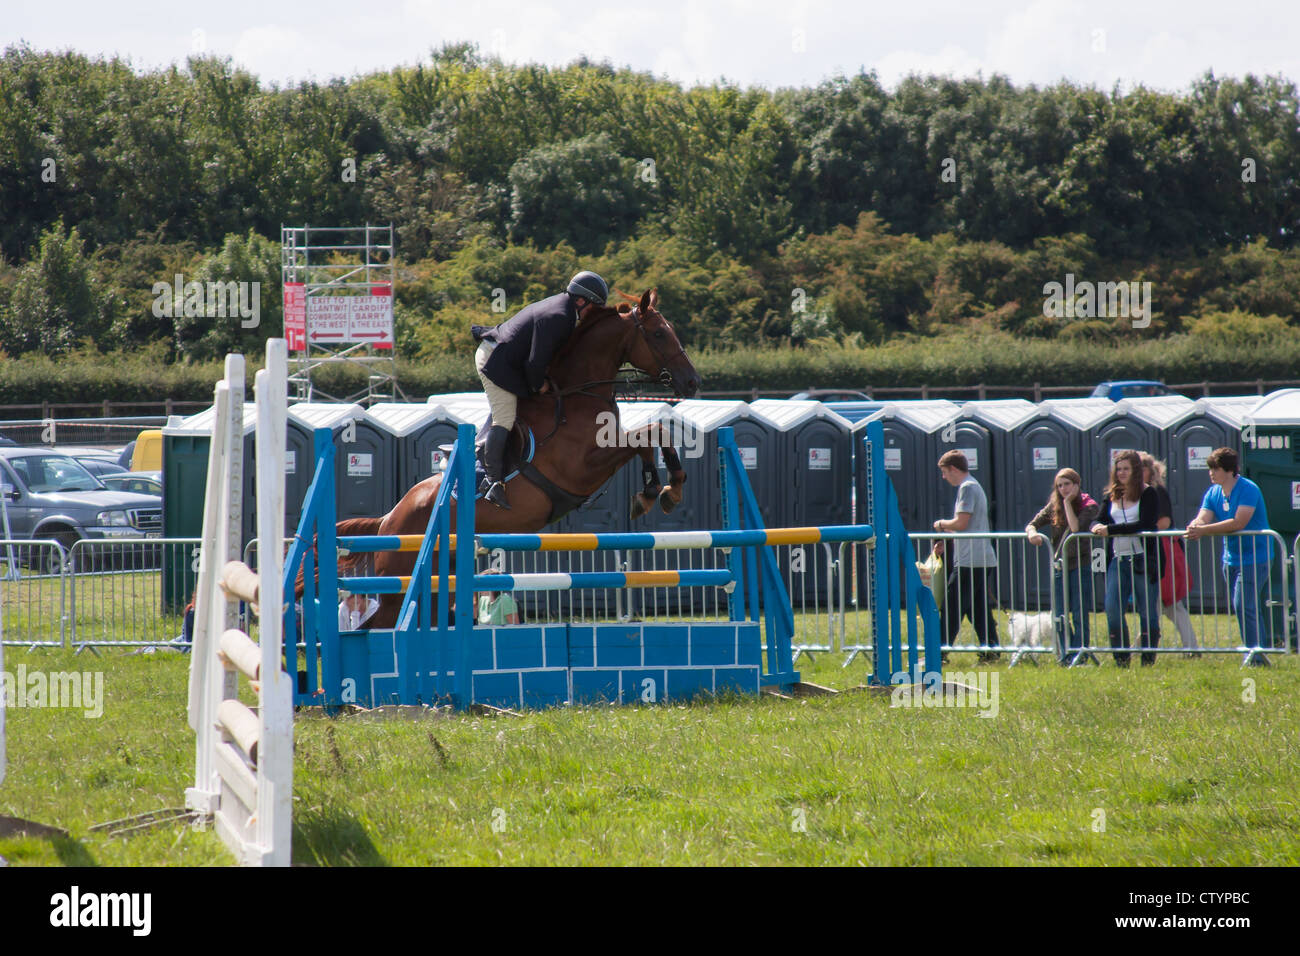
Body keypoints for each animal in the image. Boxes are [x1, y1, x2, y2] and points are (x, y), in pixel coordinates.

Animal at [335, 289, 701, 629]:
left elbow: (656, 433)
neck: (577, 396)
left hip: (438, 583)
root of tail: (387, 520)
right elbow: (646, 437)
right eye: (659, 333)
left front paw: (670, 489)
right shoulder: (582, 468)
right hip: (400, 585)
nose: (693, 382)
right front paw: (655, 492)